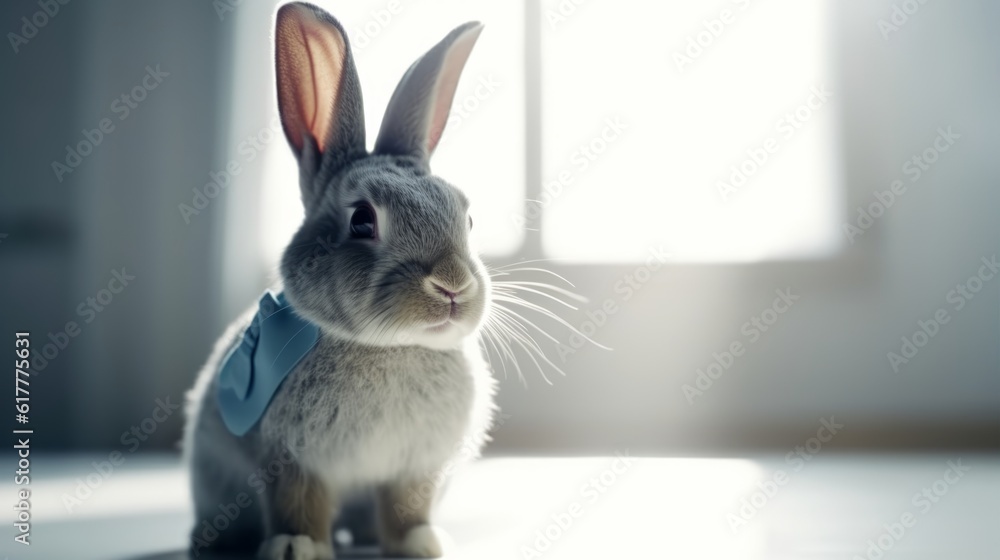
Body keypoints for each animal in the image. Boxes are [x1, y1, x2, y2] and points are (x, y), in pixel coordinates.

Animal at [182, 3, 496, 558]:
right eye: (362, 221)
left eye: (468, 218)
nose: (453, 285)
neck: (388, 346)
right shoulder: (293, 458)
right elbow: (299, 503)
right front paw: (295, 547)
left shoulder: (413, 468)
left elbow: (406, 506)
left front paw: (421, 543)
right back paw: (210, 540)